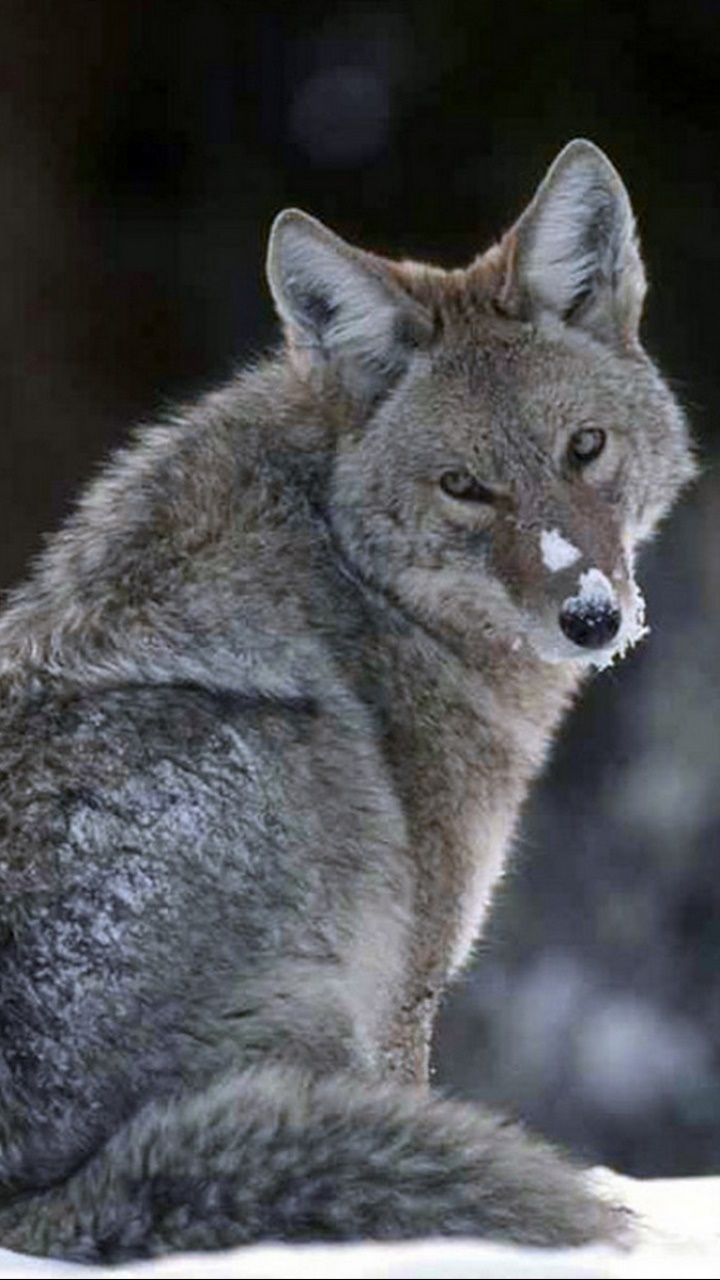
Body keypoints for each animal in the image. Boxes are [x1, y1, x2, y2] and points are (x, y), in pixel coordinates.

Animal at [0, 140, 694, 1263]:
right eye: (465, 487)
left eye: (584, 447)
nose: (592, 616)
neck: (346, 564)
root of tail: (36, 1205)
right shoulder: (410, 982)